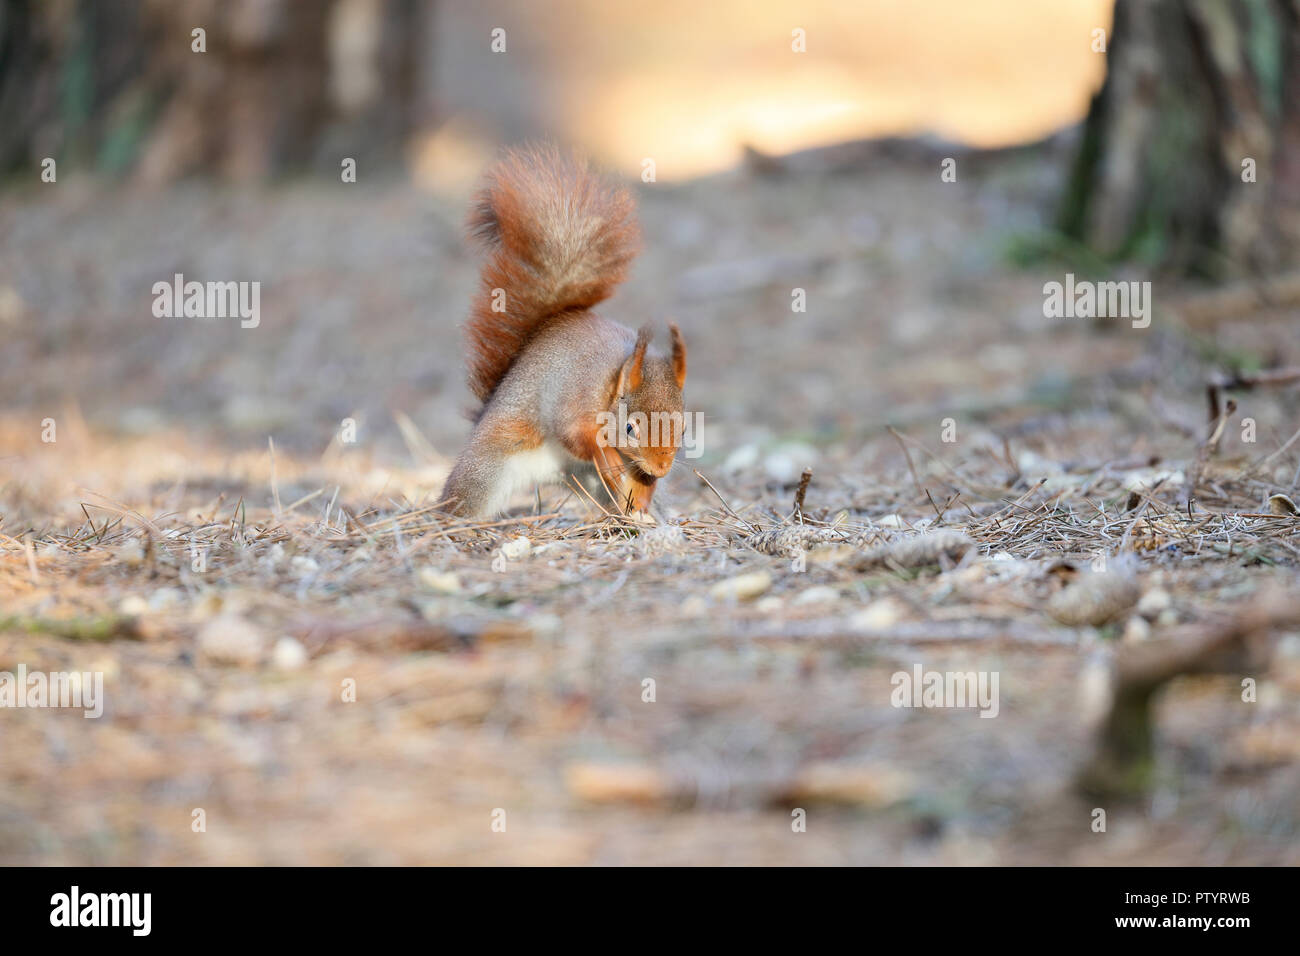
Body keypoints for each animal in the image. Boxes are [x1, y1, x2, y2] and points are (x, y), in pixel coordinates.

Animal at [439, 145, 687, 519]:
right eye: (629, 428)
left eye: (684, 428)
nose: (661, 469)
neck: (611, 377)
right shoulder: (574, 395)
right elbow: (577, 435)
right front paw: (607, 455)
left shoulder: (635, 464)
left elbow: (636, 478)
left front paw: (643, 501)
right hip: (489, 462)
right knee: (467, 493)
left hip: (588, 481)